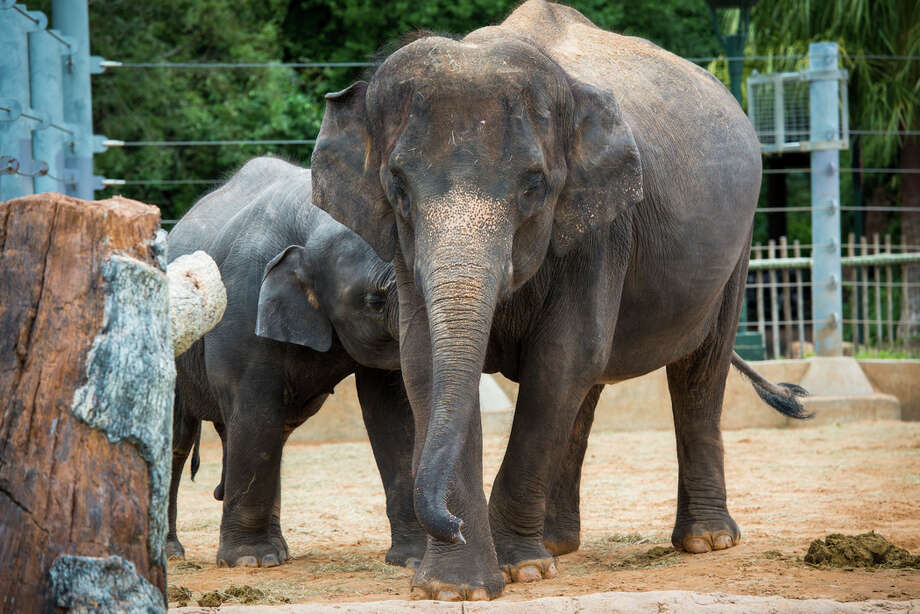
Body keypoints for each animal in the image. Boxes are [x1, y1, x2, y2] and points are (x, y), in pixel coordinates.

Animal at [166, 156, 426, 568]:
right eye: (373, 300)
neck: (313, 216)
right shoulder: (243, 300)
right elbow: (255, 408)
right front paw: (249, 561)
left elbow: (392, 414)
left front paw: (412, 561)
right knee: (181, 438)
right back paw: (175, 552)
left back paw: (279, 552)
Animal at [311, 0, 809, 601]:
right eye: (398, 187)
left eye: (534, 186)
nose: (451, 525)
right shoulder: (403, 250)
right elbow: (425, 362)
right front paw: (456, 587)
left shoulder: (602, 228)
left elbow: (562, 359)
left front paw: (518, 569)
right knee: (589, 390)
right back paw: (556, 543)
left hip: (738, 243)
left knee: (697, 369)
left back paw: (705, 541)